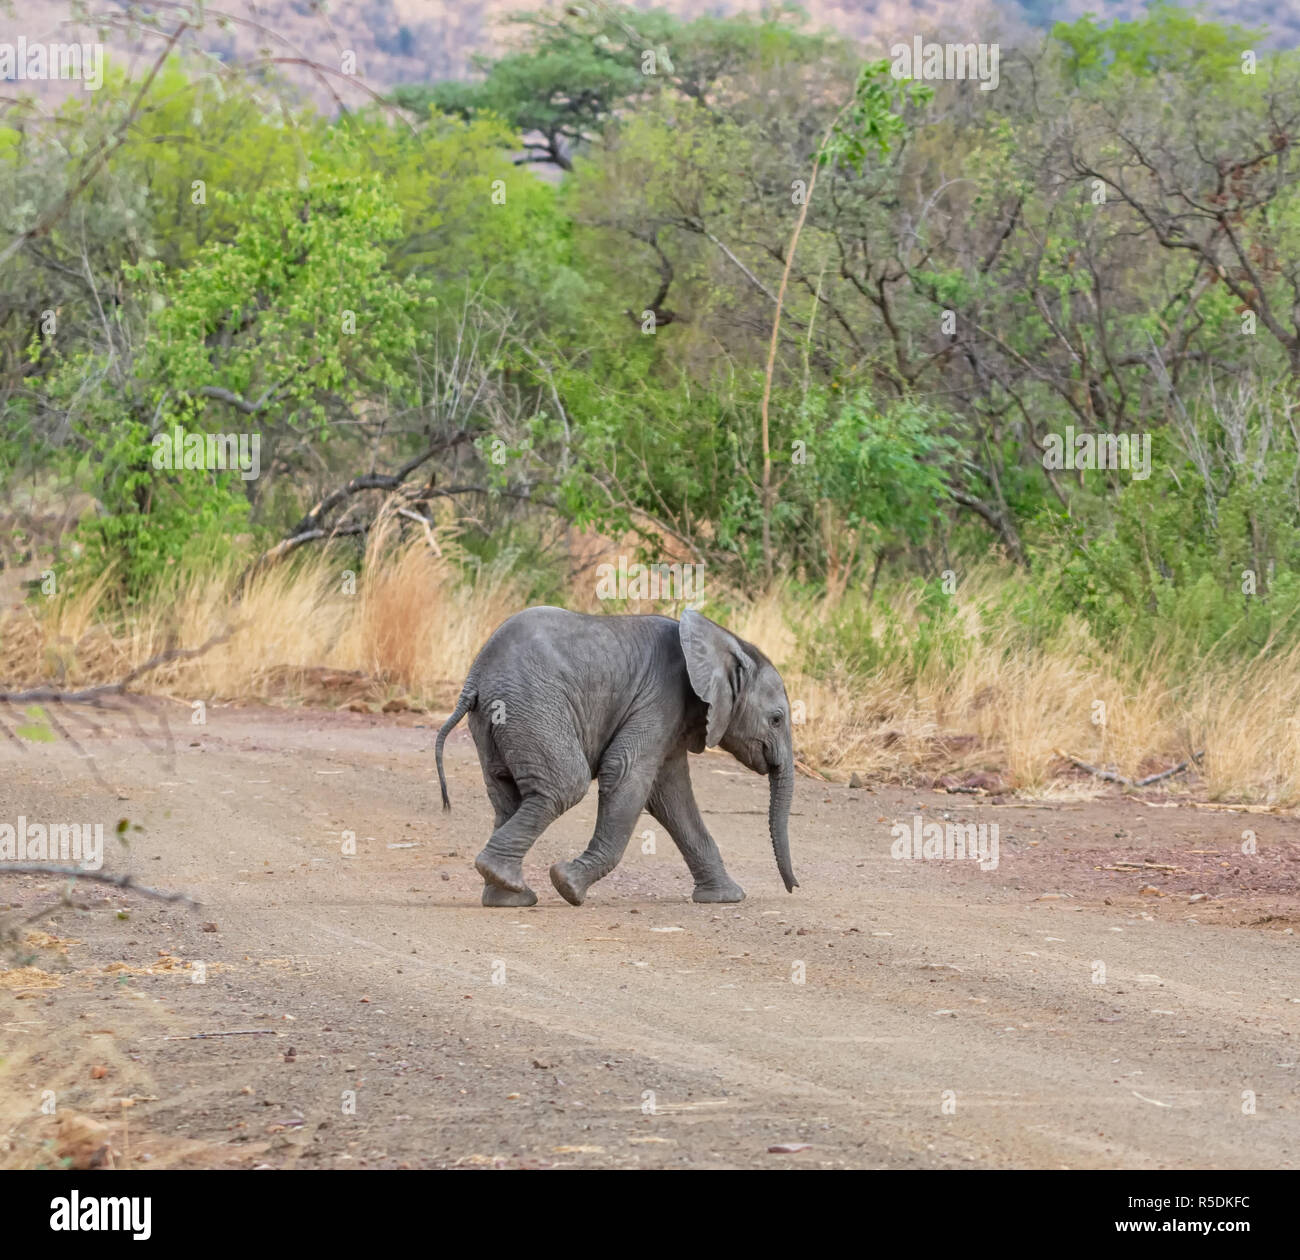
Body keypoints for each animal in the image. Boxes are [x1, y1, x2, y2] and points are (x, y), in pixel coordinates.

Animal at [435, 606, 798, 907]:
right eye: (776, 719)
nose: (793, 887)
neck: (724, 640)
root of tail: (475, 678)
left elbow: (672, 794)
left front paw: (726, 898)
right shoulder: (661, 696)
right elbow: (627, 773)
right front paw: (568, 887)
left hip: (496, 722)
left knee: (507, 795)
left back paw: (509, 896)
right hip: (530, 706)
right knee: (565, 785)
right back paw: (506, 880)